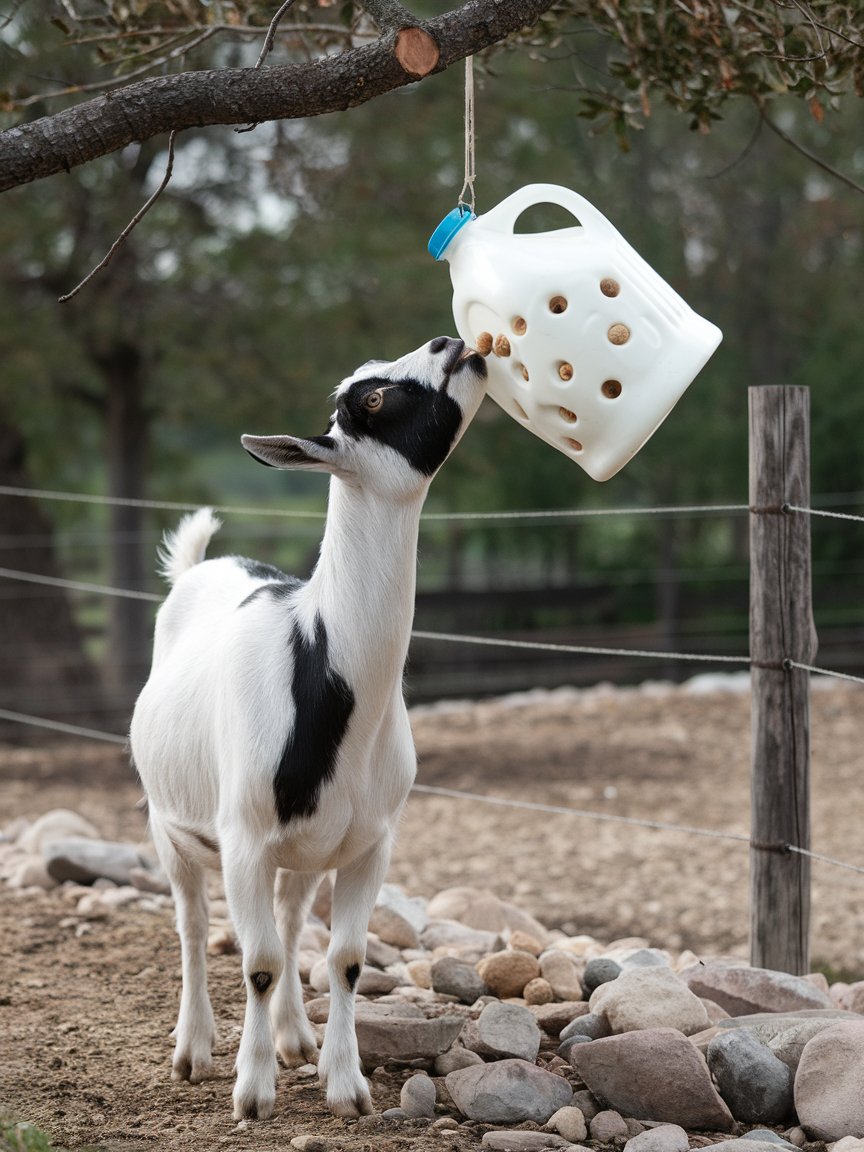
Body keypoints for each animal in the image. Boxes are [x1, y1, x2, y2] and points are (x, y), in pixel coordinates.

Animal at [129, 336, 488, 1121]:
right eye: (373, 399)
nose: (451, 344)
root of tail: (206, 567)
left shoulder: (373, 842)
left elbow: (345, 960)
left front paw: (346, 1086)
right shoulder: (242, 837)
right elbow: (257, 962)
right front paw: (252, 1091)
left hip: (306, 847)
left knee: (292, 919)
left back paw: (295, 1037)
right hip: (170, 823)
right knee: (193, 925)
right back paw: (194, 1049)